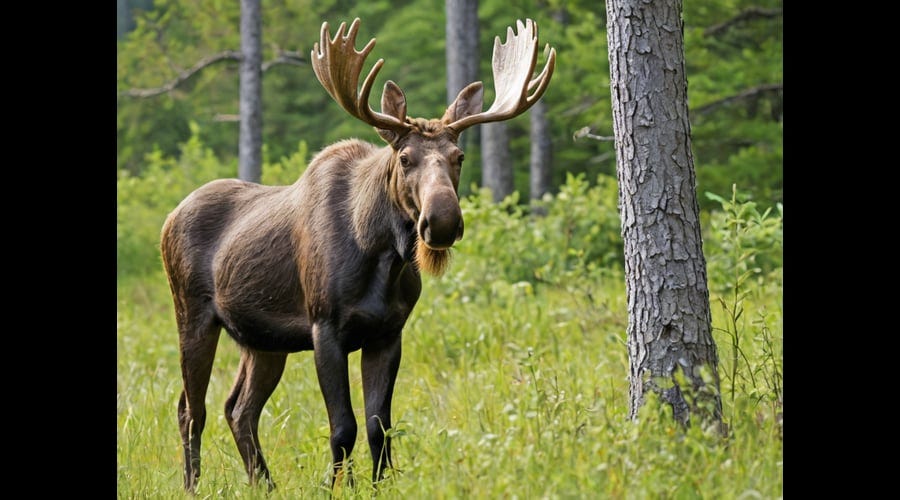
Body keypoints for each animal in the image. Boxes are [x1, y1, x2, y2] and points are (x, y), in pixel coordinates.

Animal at [160, 17, 555, 493]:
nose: (441, 222)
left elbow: (378, 425)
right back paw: (192, 486)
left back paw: (265, 485)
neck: (381, 257)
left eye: (459, 156)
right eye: (404, 157)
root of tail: (169, 217)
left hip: (263, 341)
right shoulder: (325, 328)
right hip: (193, 314)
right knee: (190, 408)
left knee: (238, 409)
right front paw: (338, 488)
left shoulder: (387, 333)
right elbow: (343, 426)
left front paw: (380, 485)